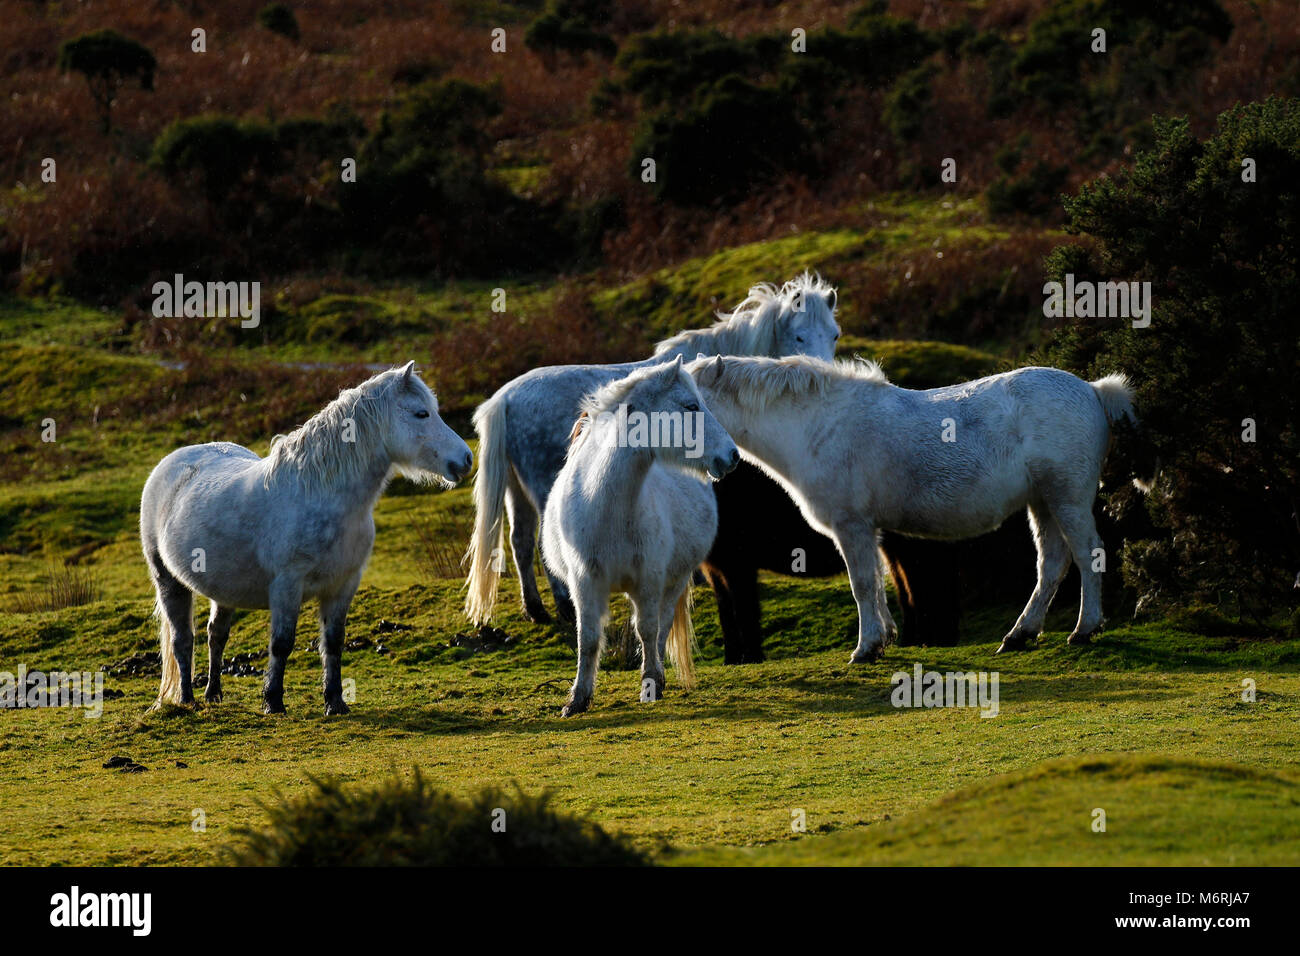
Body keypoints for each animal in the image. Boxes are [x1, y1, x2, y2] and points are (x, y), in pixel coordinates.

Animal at [140, 361, 473, 716]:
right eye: (421, 414)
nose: (466, 459)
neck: (321, 494)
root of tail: (171, 463)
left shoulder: (343, 585)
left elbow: (333, 642)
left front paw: (335, 702)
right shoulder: (288, 585)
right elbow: (282, 643)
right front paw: (273, 701)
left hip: (222, 590)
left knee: (216, 634)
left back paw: (213, 693)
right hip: (167, 579)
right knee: (182, 639)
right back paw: (187, 698)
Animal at [464, 272, 841, 628]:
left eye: (834, 334)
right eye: (799, 336)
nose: (821, 374)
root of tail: (505, 398)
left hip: (517, 492)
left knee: (521, 544)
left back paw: (536, 609)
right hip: (541, 490)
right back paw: (564, 606)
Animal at [541, 356, 740, 716]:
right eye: (691, 406)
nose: (732, 455)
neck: (605, 505)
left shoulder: (648, 579)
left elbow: (647, 630)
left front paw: (650, 683)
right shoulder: (584, 582)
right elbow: (588, 638)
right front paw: (577, 699)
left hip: (675, 580)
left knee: (662, 626)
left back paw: (658, 676)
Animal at [689, 354, 1138, 662]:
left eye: (692, 401)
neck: (819, 425)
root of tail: (1094, 391)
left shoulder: (851, 526)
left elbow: (861, 584)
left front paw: (866, 648)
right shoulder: (869, 530)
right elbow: (877, 582)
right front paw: (883, 638)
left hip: (1067, 498)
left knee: (1087, 555)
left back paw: (1084, 629)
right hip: (1043, 502)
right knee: (1052, 564)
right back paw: (1020, 635)